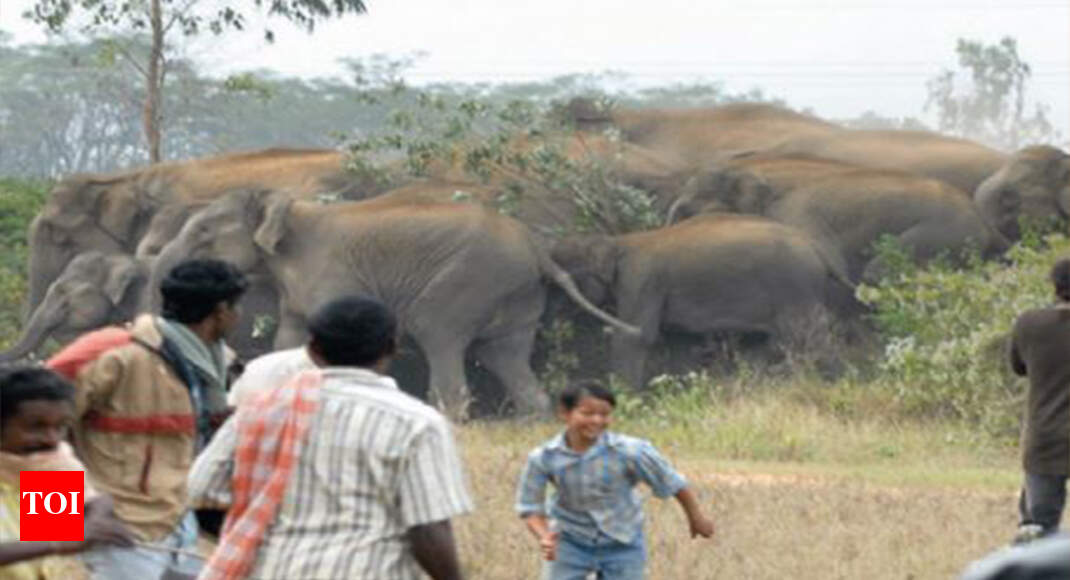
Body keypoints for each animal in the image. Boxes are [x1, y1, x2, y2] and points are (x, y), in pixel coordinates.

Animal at [148, 189, 639, 419]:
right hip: (515, 293)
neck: (285, 205)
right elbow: (287, 342)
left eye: (204, 234)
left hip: (470, 280)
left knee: (441, 335)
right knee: (506, 356)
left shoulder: (333, 273)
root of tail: (539, 250)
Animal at [550, 213, 858, 388]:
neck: (617, 241)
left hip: (795, 286)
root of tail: (816, 247)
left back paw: (839, 386)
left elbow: (636, 338)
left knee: (812, 340)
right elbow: (678, 343)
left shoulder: (641, 280)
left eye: (564, 281)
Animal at [667, 155, 1010, 282]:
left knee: (878, 270)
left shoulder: (797, 214)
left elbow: (831, 260)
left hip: (943, 232)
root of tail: (982, 220)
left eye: (687, 211)